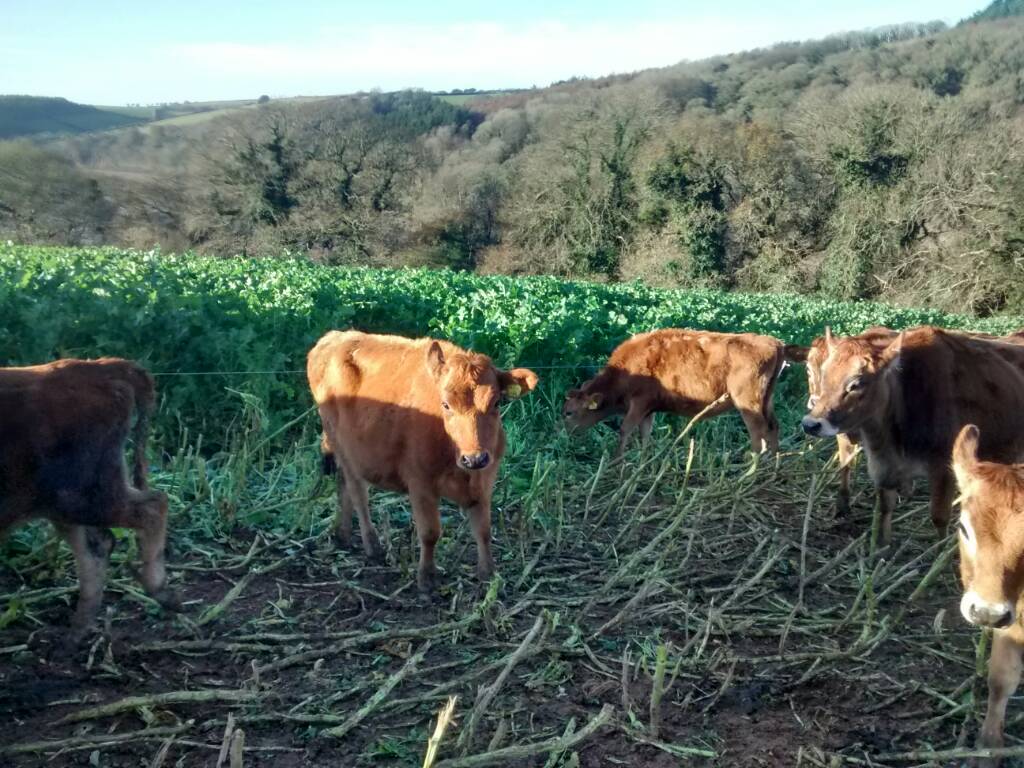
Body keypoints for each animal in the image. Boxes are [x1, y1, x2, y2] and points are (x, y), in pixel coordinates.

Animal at [0, 358, 178, 647]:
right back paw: (75, 634)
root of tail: (101, 368)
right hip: (66, 505)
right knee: (97, 547)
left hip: (83, 498)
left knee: (154, 507)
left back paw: (161, 592)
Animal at [307, 331, 538, 593]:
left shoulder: (484, 480)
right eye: (446, 404)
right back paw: (372, 545)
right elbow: (430, 533)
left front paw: (488, 573)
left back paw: (343, 534)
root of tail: (335, 337)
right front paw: (426, 578)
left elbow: (483, 529)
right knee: (357, 493)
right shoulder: (420, 484)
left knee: (343, 486)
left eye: (497, 402)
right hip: (342, 447)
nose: (474, 458)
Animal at [562, 329, 790, 456]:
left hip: (748, 402)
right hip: (766, 401)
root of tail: (775, 343)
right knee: (773, 427)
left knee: (758, 433)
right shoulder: (648, 409)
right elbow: (644, 435)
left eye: (568, 413)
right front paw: (644, 461)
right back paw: (772, 465)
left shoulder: (639, 403)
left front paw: (617, 463)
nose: (563, 432)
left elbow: (624, 430)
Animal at [801, 327, 1024, 547]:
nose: (810, 424)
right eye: (823, 373)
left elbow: (939, 517)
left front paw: (938, 552)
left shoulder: (944, 470)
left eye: (856, 384)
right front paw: (881, 547)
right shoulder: (883, 466)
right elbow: (884, 508)